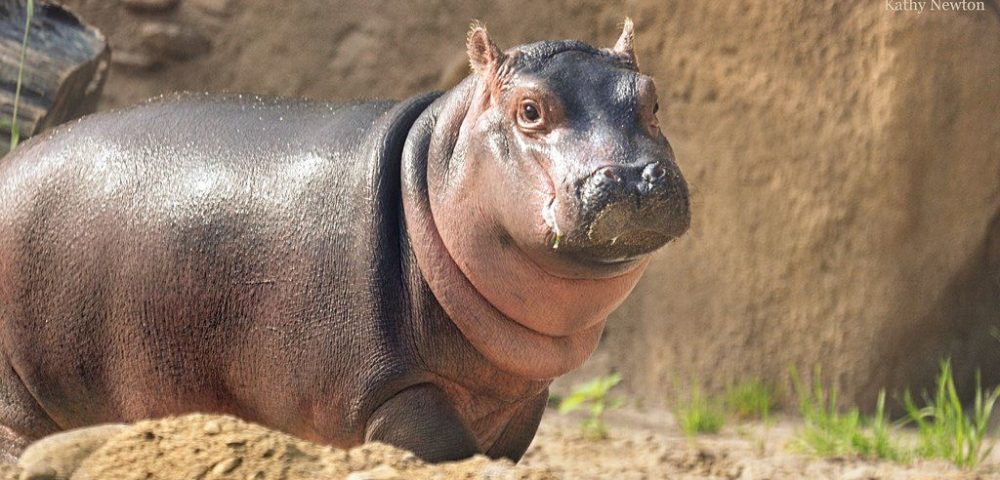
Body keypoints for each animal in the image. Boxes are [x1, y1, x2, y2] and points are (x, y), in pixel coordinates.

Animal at [0, 20, 689, 466]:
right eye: (528, 110)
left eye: (653, 99)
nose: (632, 176)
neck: (431, 170)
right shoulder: (397, 395)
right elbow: (447, 454)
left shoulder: (519, 405)